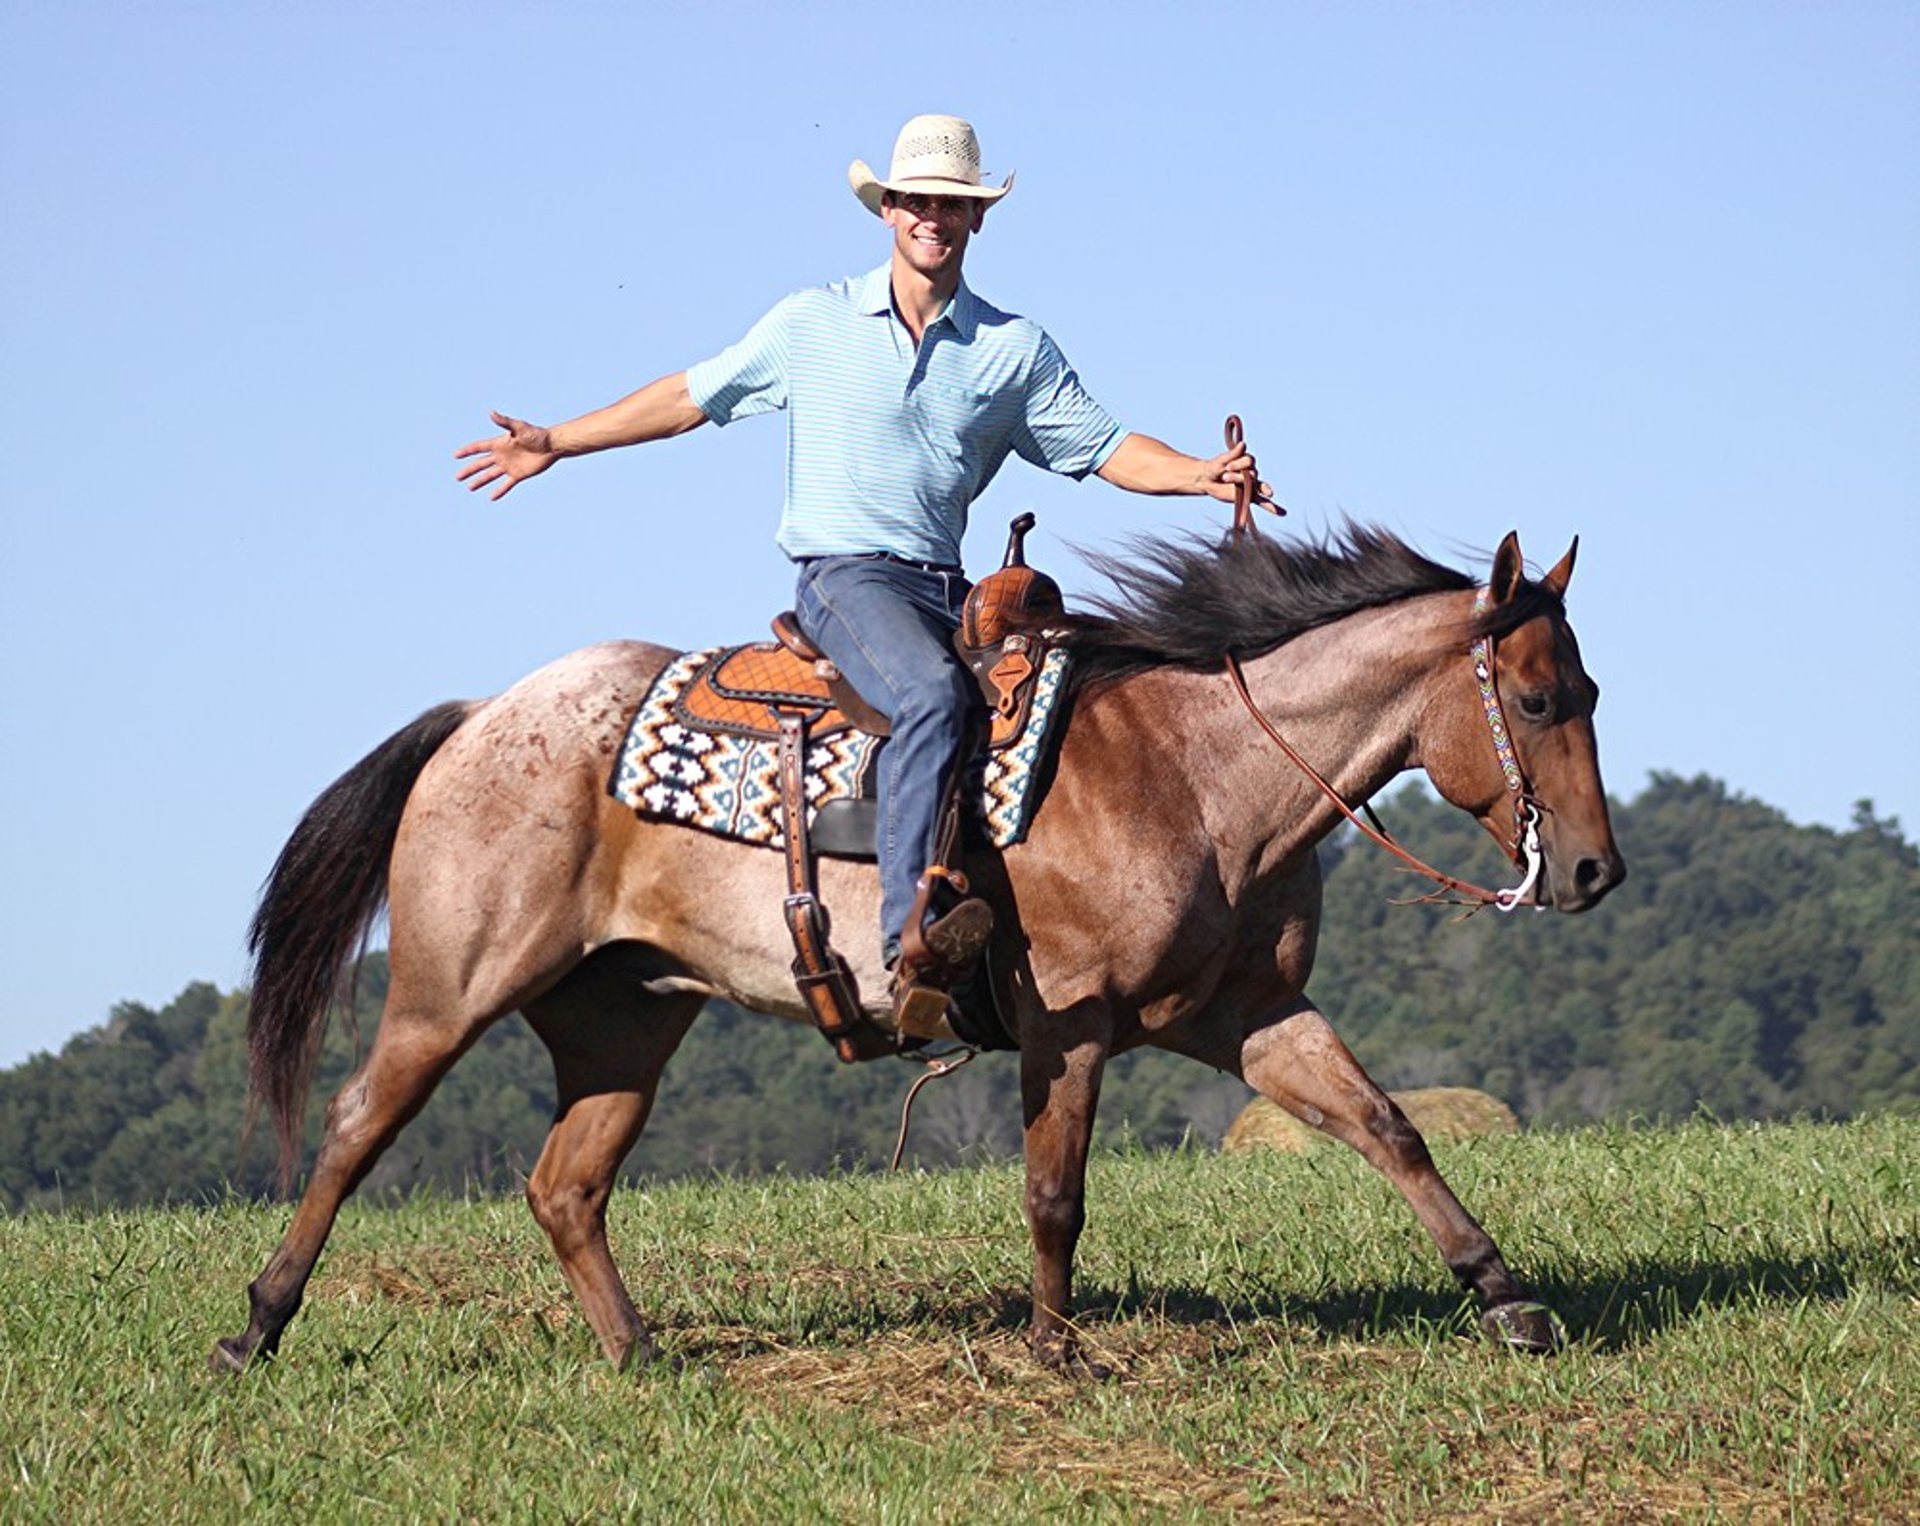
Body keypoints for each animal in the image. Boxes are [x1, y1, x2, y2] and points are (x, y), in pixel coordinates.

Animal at [211, 523, 1624, 1376]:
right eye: (1538, 697)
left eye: (1593, 691)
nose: (1595, 871)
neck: (1196, 769)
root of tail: (479, 715)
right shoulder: (1069, 1022)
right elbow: (1056, 1190)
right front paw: (1057, 1350)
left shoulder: (1251, 1014)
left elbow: (1391, 1126)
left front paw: (1507, 1295)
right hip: (452, 988)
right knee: (356, 1123)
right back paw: (256, 1328)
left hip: (625, 1020)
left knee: (567, 1184)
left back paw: (642, 1354)